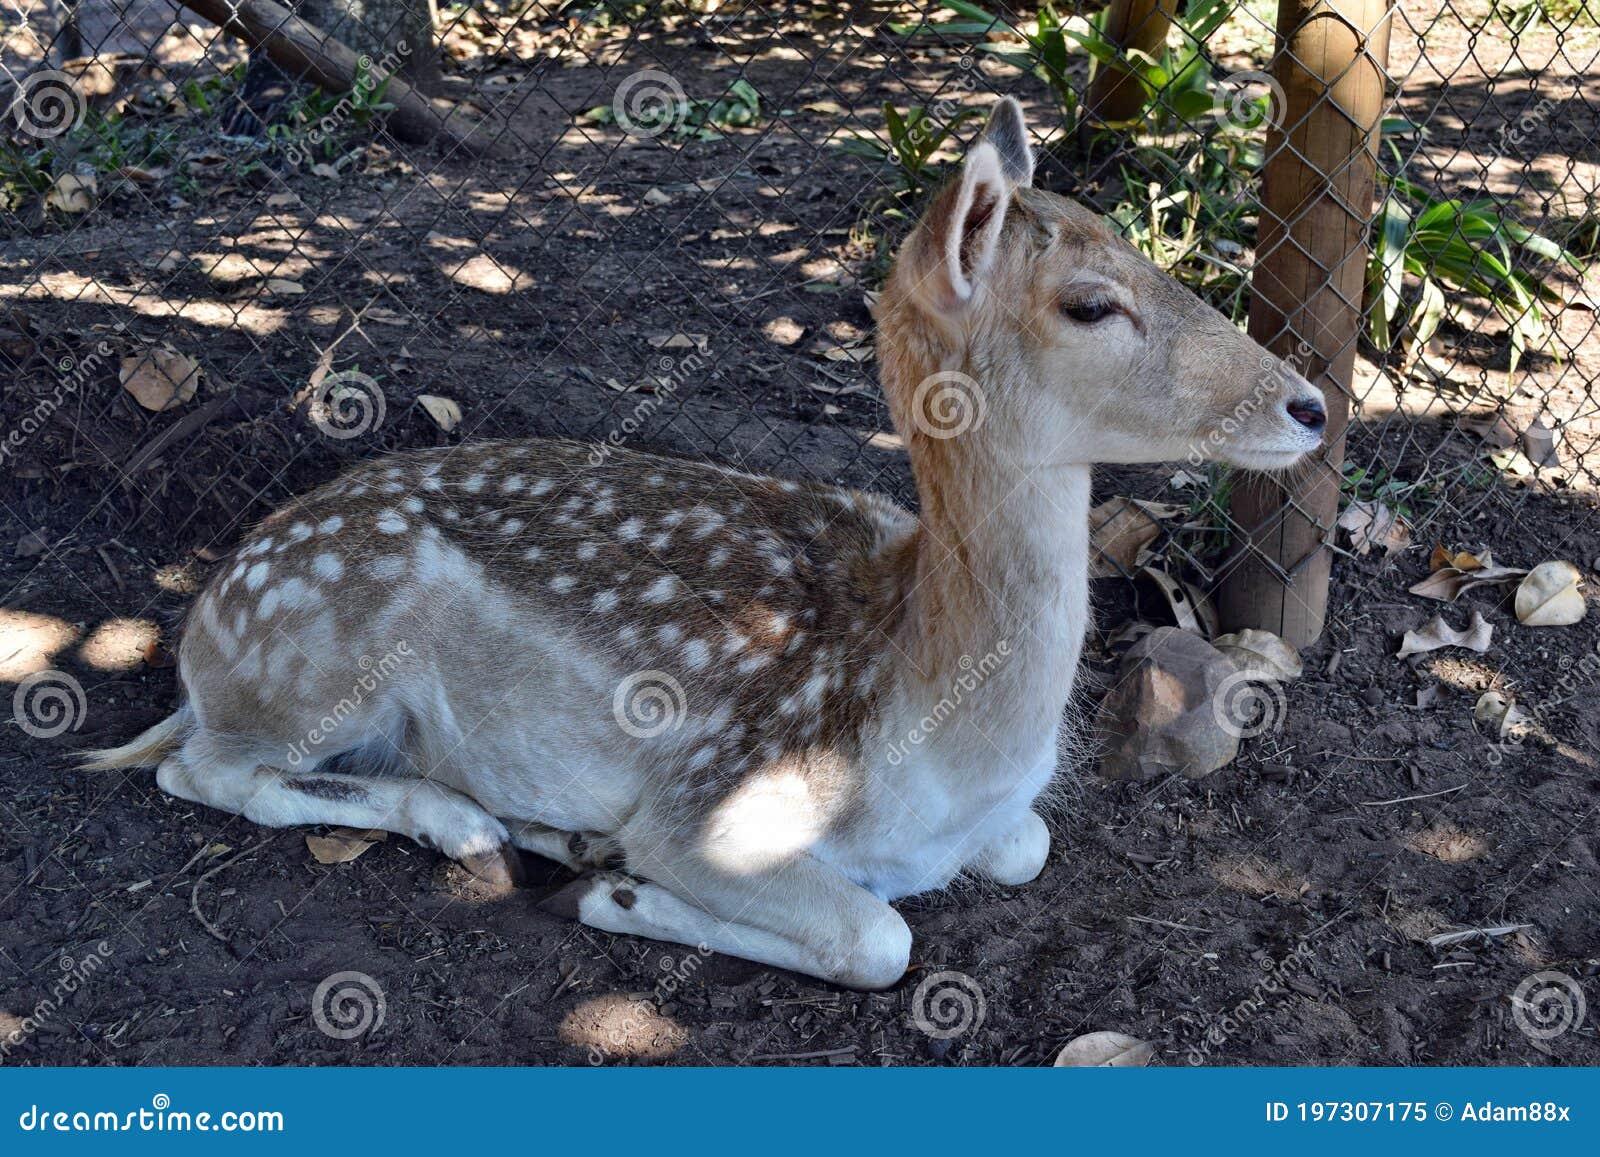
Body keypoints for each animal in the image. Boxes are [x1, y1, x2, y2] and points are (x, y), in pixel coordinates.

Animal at [84, 99, 1325, 990]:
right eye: (1089, 303)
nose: (1312, 404)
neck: (933, 744)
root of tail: (203, 631)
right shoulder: (713, 801)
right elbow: (880, 936)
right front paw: (614, 886)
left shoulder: (997, 824)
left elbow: (1027, 847)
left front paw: (594, 865)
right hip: (318, 657)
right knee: (209, 770)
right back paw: (478, 822)